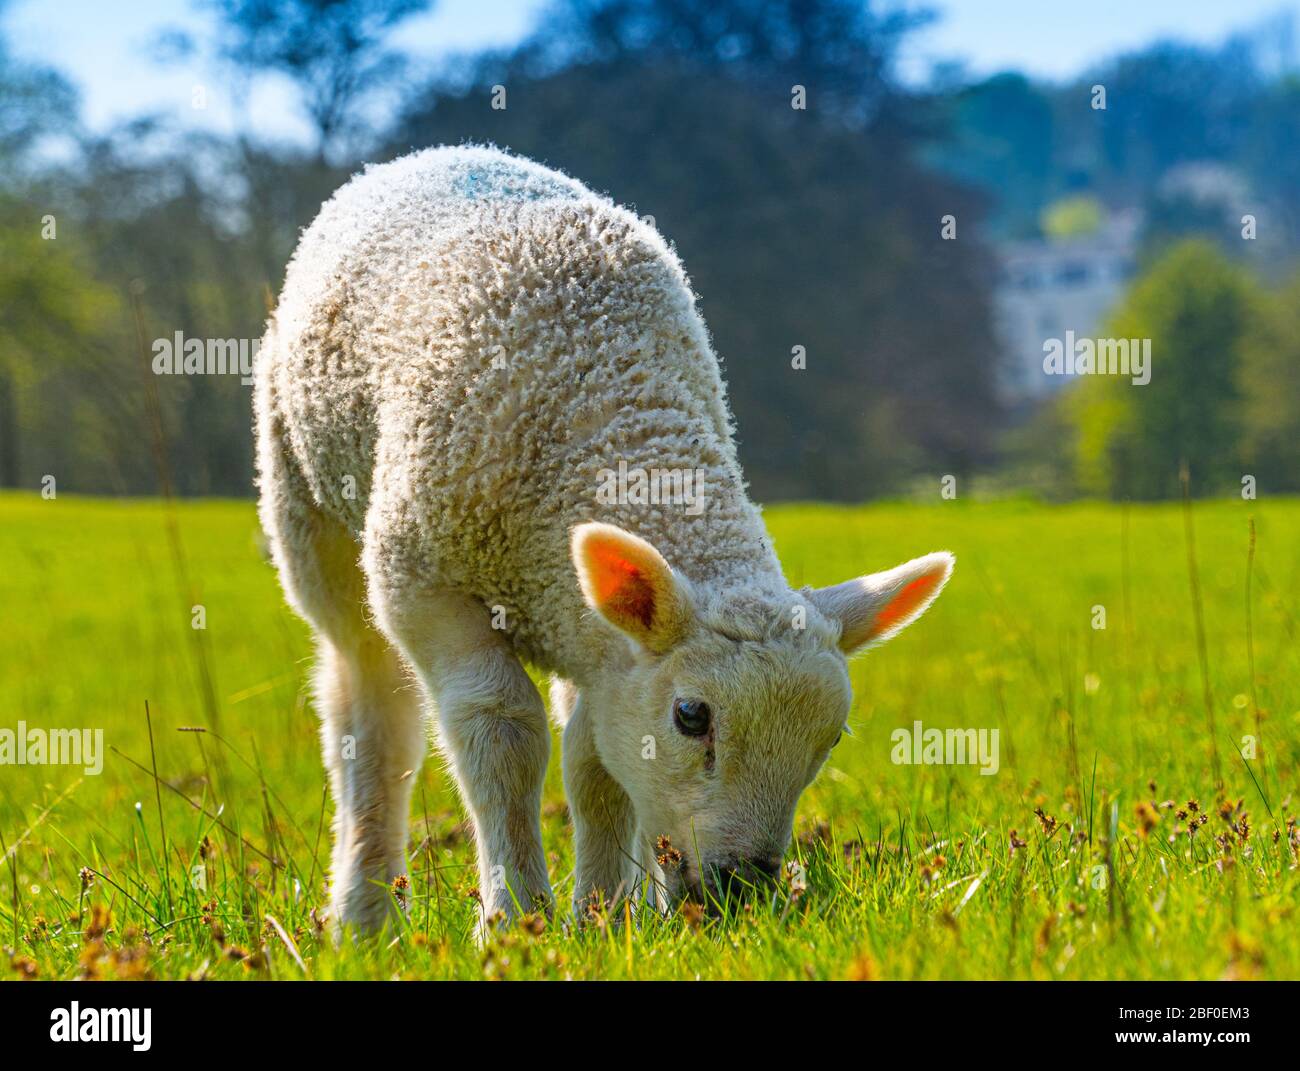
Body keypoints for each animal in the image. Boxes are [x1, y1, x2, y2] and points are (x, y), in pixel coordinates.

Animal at [254, 144, 953, 934]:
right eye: (691, 716)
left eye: (830, 739)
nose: (740, 892)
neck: (617, 408)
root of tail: (435, 154)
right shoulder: (423, 583)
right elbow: (499, 733)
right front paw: (515, 919)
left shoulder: (607, 646)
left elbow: (595, 766)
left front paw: (603, 920)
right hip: (310, 513)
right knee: (368, 707)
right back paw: (362, 916)